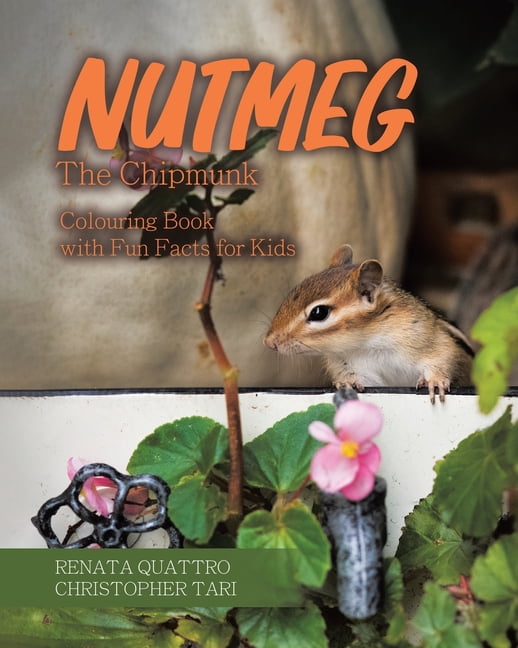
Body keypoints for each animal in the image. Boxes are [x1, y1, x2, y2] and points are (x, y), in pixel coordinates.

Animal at [264, 244, 474, 403]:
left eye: (319, 312)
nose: (269, 342)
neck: (367, 342)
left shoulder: (428, 337)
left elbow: (442, 356)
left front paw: (435, 381)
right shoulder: (349, 365)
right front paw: (346, 384)